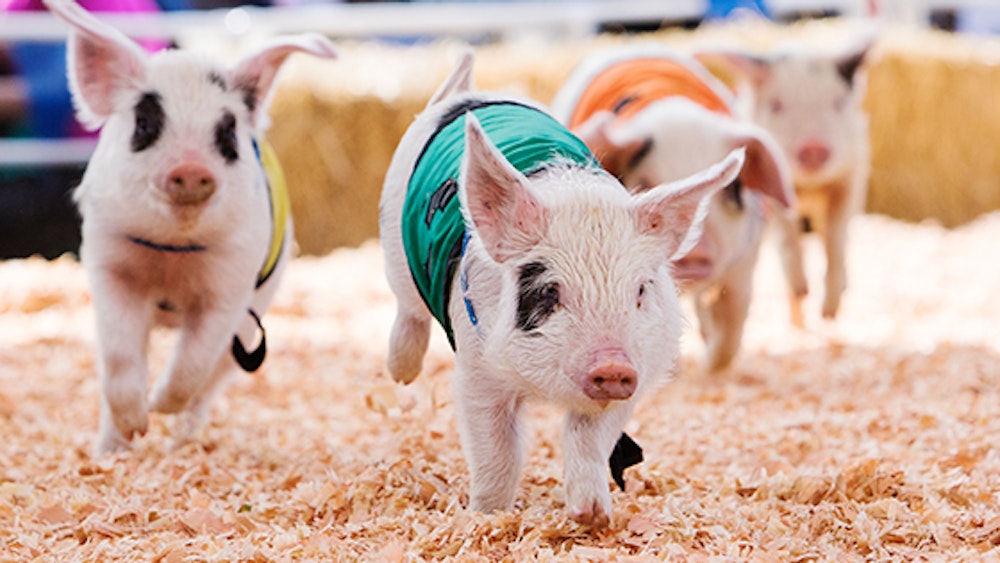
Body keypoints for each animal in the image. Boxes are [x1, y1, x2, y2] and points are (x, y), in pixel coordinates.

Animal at [43, 0, 337, 454]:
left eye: (227, 130)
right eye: (145, 123)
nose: (192, 168)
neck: (171, 253)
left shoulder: (231, 284)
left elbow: (192, 364)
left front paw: (158, 407)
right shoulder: (109, 264)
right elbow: (119, 358)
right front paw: (136, 427)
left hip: (251, 324)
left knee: (209, 384)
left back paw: (182, 439)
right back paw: (111, 450)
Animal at [379, 52, 744, 527]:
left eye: (640, 290)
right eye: (549, 291)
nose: (612, 363)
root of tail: (466, 93)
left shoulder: (639, 371)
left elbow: (587, 438)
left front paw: (592, 516)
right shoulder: (479, 369)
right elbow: (496, 453)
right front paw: (487, 516)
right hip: (393, 243)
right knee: (408, 308)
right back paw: (400, 373)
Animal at [550, 46, 803, 371]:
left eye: (729, 187)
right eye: (644, 183)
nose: (695, 249)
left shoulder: (745, 259)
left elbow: (733, 317)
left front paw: (711, 366)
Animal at [695, 37, 874, 320]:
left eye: (837, 103)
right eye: (776, 105)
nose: (813, 146)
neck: (808, 186)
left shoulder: (852, 176)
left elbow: (835, 235)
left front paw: (829, 312)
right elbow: (787, 234)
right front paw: (803, 291)